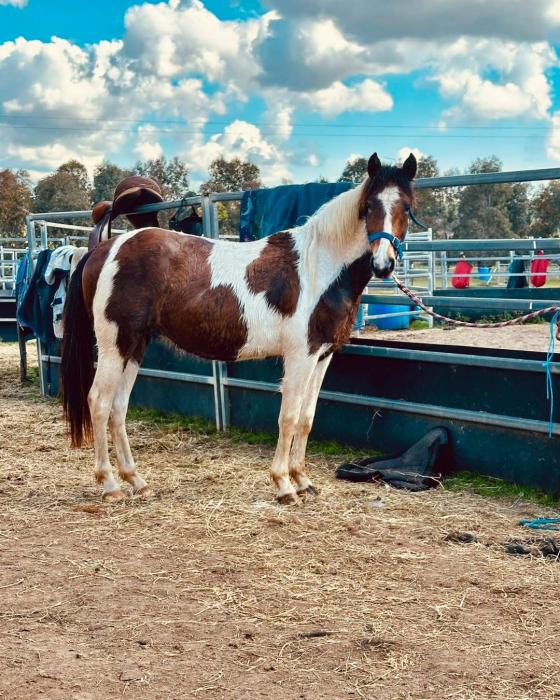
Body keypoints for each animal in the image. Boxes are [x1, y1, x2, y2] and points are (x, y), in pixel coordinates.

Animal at [60, 152, 417, 504]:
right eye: (368, 206)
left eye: (406, 207)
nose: (383, 264)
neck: (319, 267)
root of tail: (103, 250)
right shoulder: (300, 355)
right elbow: (288, 417)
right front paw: (284, 486)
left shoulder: (323, 355)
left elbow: (306, 418)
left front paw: (303, 481)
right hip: (114, 345)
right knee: (99, 402)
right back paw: (110, 485)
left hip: (134, 346)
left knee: (118, 408)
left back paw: (137, 481)